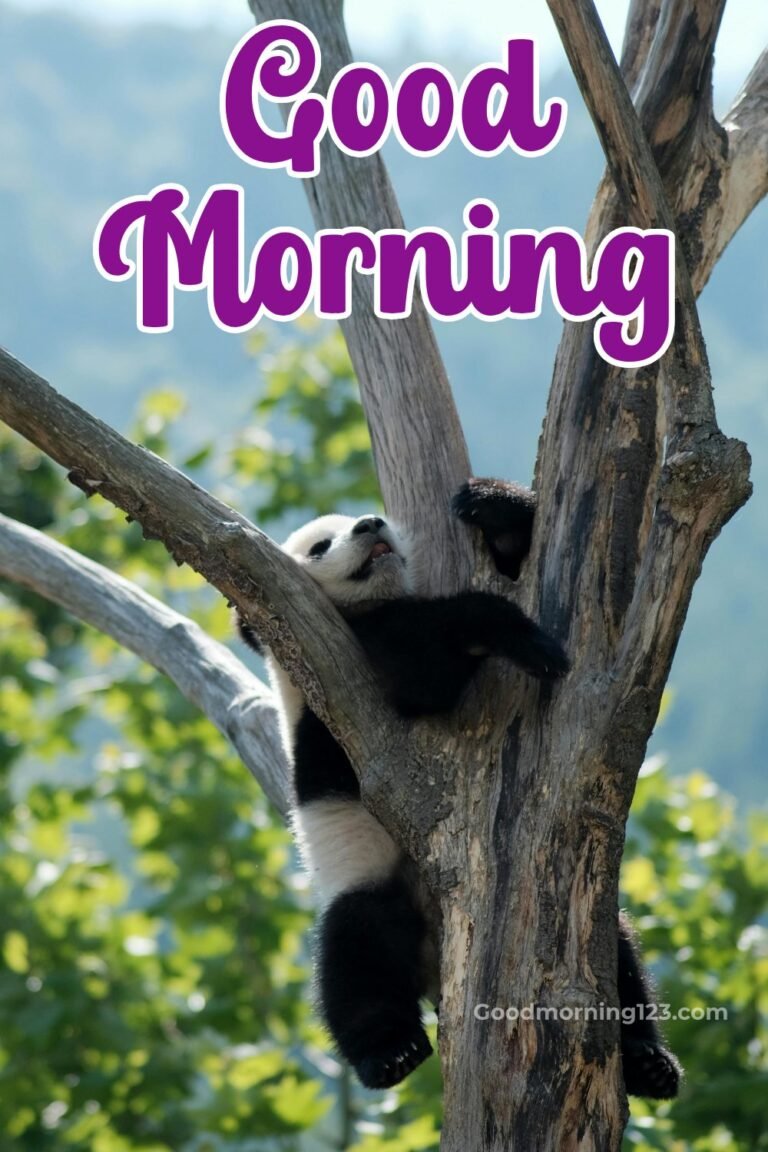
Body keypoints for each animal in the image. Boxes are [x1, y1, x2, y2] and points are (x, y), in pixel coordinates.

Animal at [238, 478, 681, 1098]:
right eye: (321, 546)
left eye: (355, 518)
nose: (371, 525)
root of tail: (436, 968)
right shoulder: (336, 668)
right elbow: (423, 671)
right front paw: (516, 634)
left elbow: (510, 562)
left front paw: (495, 506)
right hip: (371, 877)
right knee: (358, 948)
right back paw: (391, 1054)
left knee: (616, 951)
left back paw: (648, 1063)